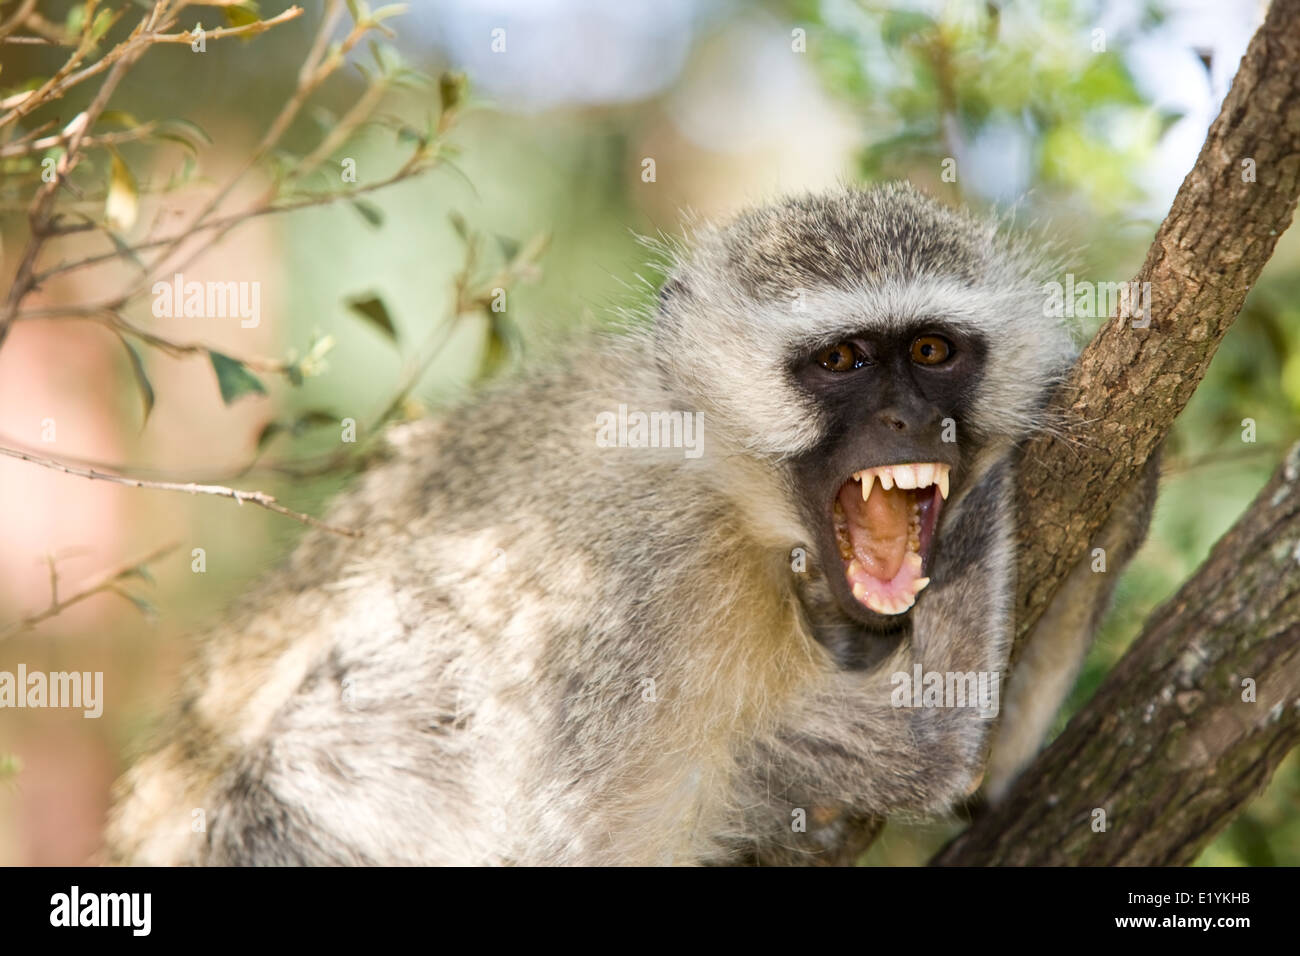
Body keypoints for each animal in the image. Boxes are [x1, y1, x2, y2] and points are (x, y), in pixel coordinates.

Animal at [106, 182, 1155, 866]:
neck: (730, 491)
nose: (911, 422)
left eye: (933, 352)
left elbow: (983, 782)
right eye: (844, 361)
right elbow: (919, 755)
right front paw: (1001, 490)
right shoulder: (645, 595)